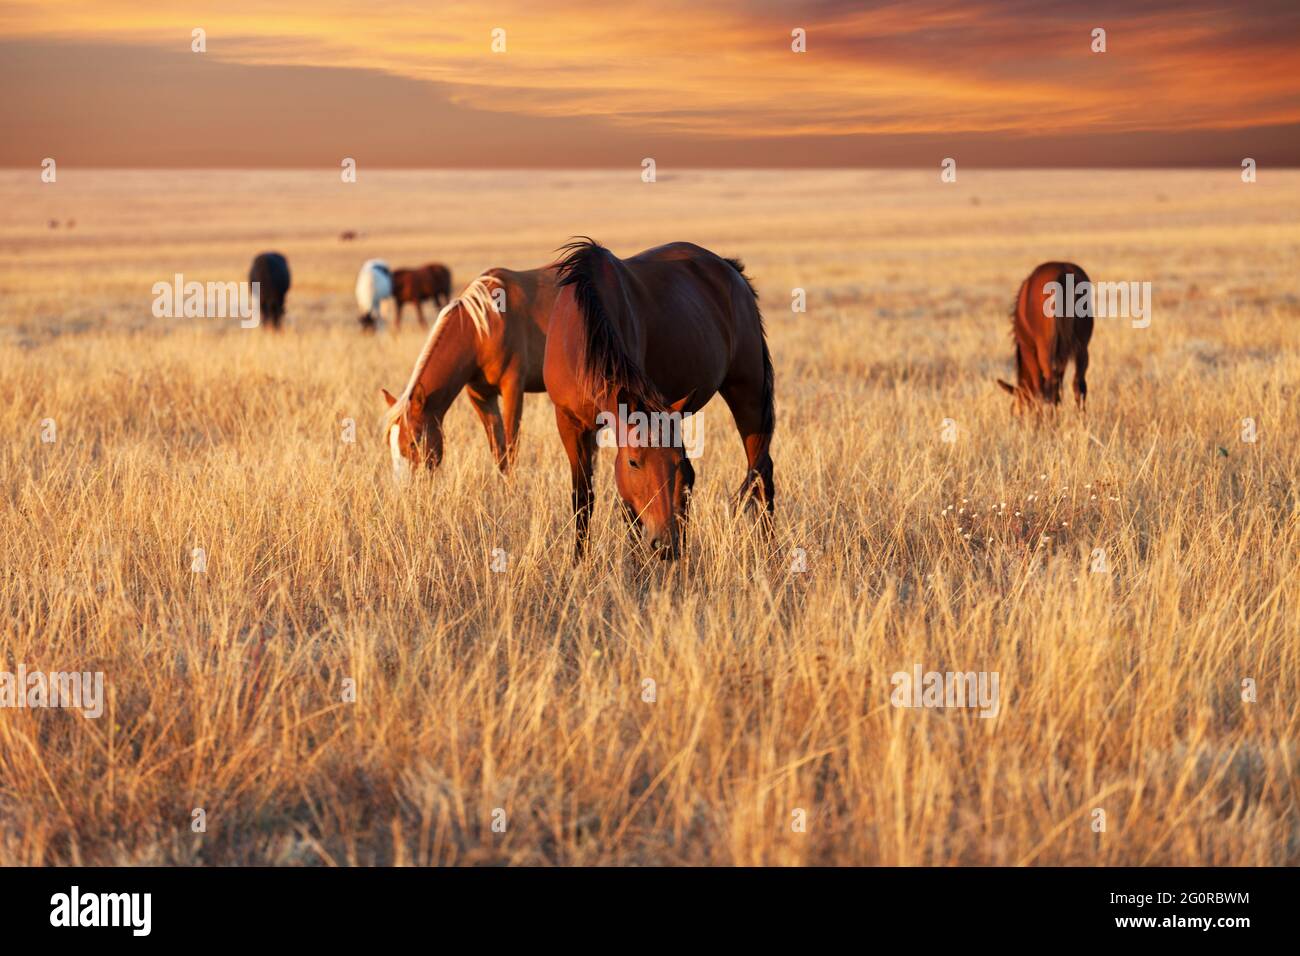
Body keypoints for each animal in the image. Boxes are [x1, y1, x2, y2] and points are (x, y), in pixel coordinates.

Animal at [382, 265, 560, 476]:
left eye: (413, 441)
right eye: (390, 445)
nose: (404, 485)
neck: (486, 328)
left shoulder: (513, 389)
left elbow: (511, 449)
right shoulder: (480, 396)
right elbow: (499, 454)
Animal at [544, 239, 775, 562]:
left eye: (671, 463)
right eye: (633, 462)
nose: (664, 545)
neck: (579, 335)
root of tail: (731, 270)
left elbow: (629, 509)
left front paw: (635, 564)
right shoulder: (570, 423)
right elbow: (583, 498)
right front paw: (579, 562)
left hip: (747, 392)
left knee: (760, 473)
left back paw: (771, 555)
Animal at [997, 261, 1093, 409]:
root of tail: (1063, 272)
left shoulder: (1028, 350)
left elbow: (1039, 388)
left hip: (1045, 349)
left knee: (1050, 385)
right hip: (1082, 347)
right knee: (1079, 384)